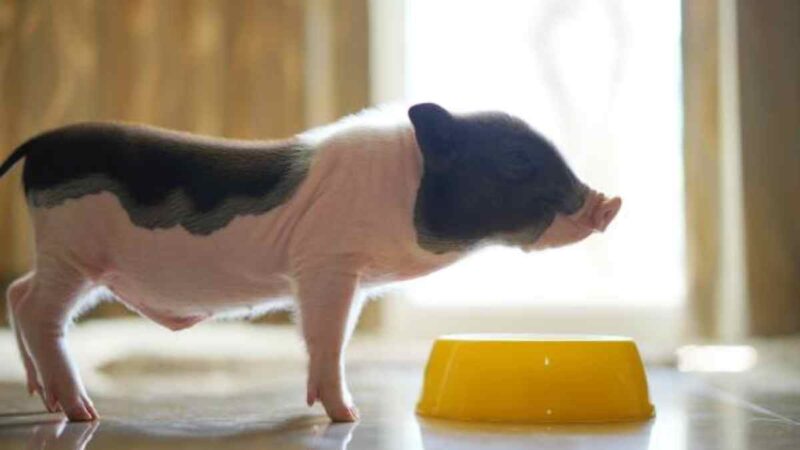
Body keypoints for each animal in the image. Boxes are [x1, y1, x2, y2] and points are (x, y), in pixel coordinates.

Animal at [0, 103, 621, 423]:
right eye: (516, 161)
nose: (610, 203)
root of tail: (41, 142)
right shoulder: (328, 262)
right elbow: (328, 336)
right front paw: (348, 416)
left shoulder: (354, 277)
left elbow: (332, 336)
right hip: (72, 250)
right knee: (39, 313)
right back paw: (82, 413)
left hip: (75, 262)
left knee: (18, 294)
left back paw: (43, 398)